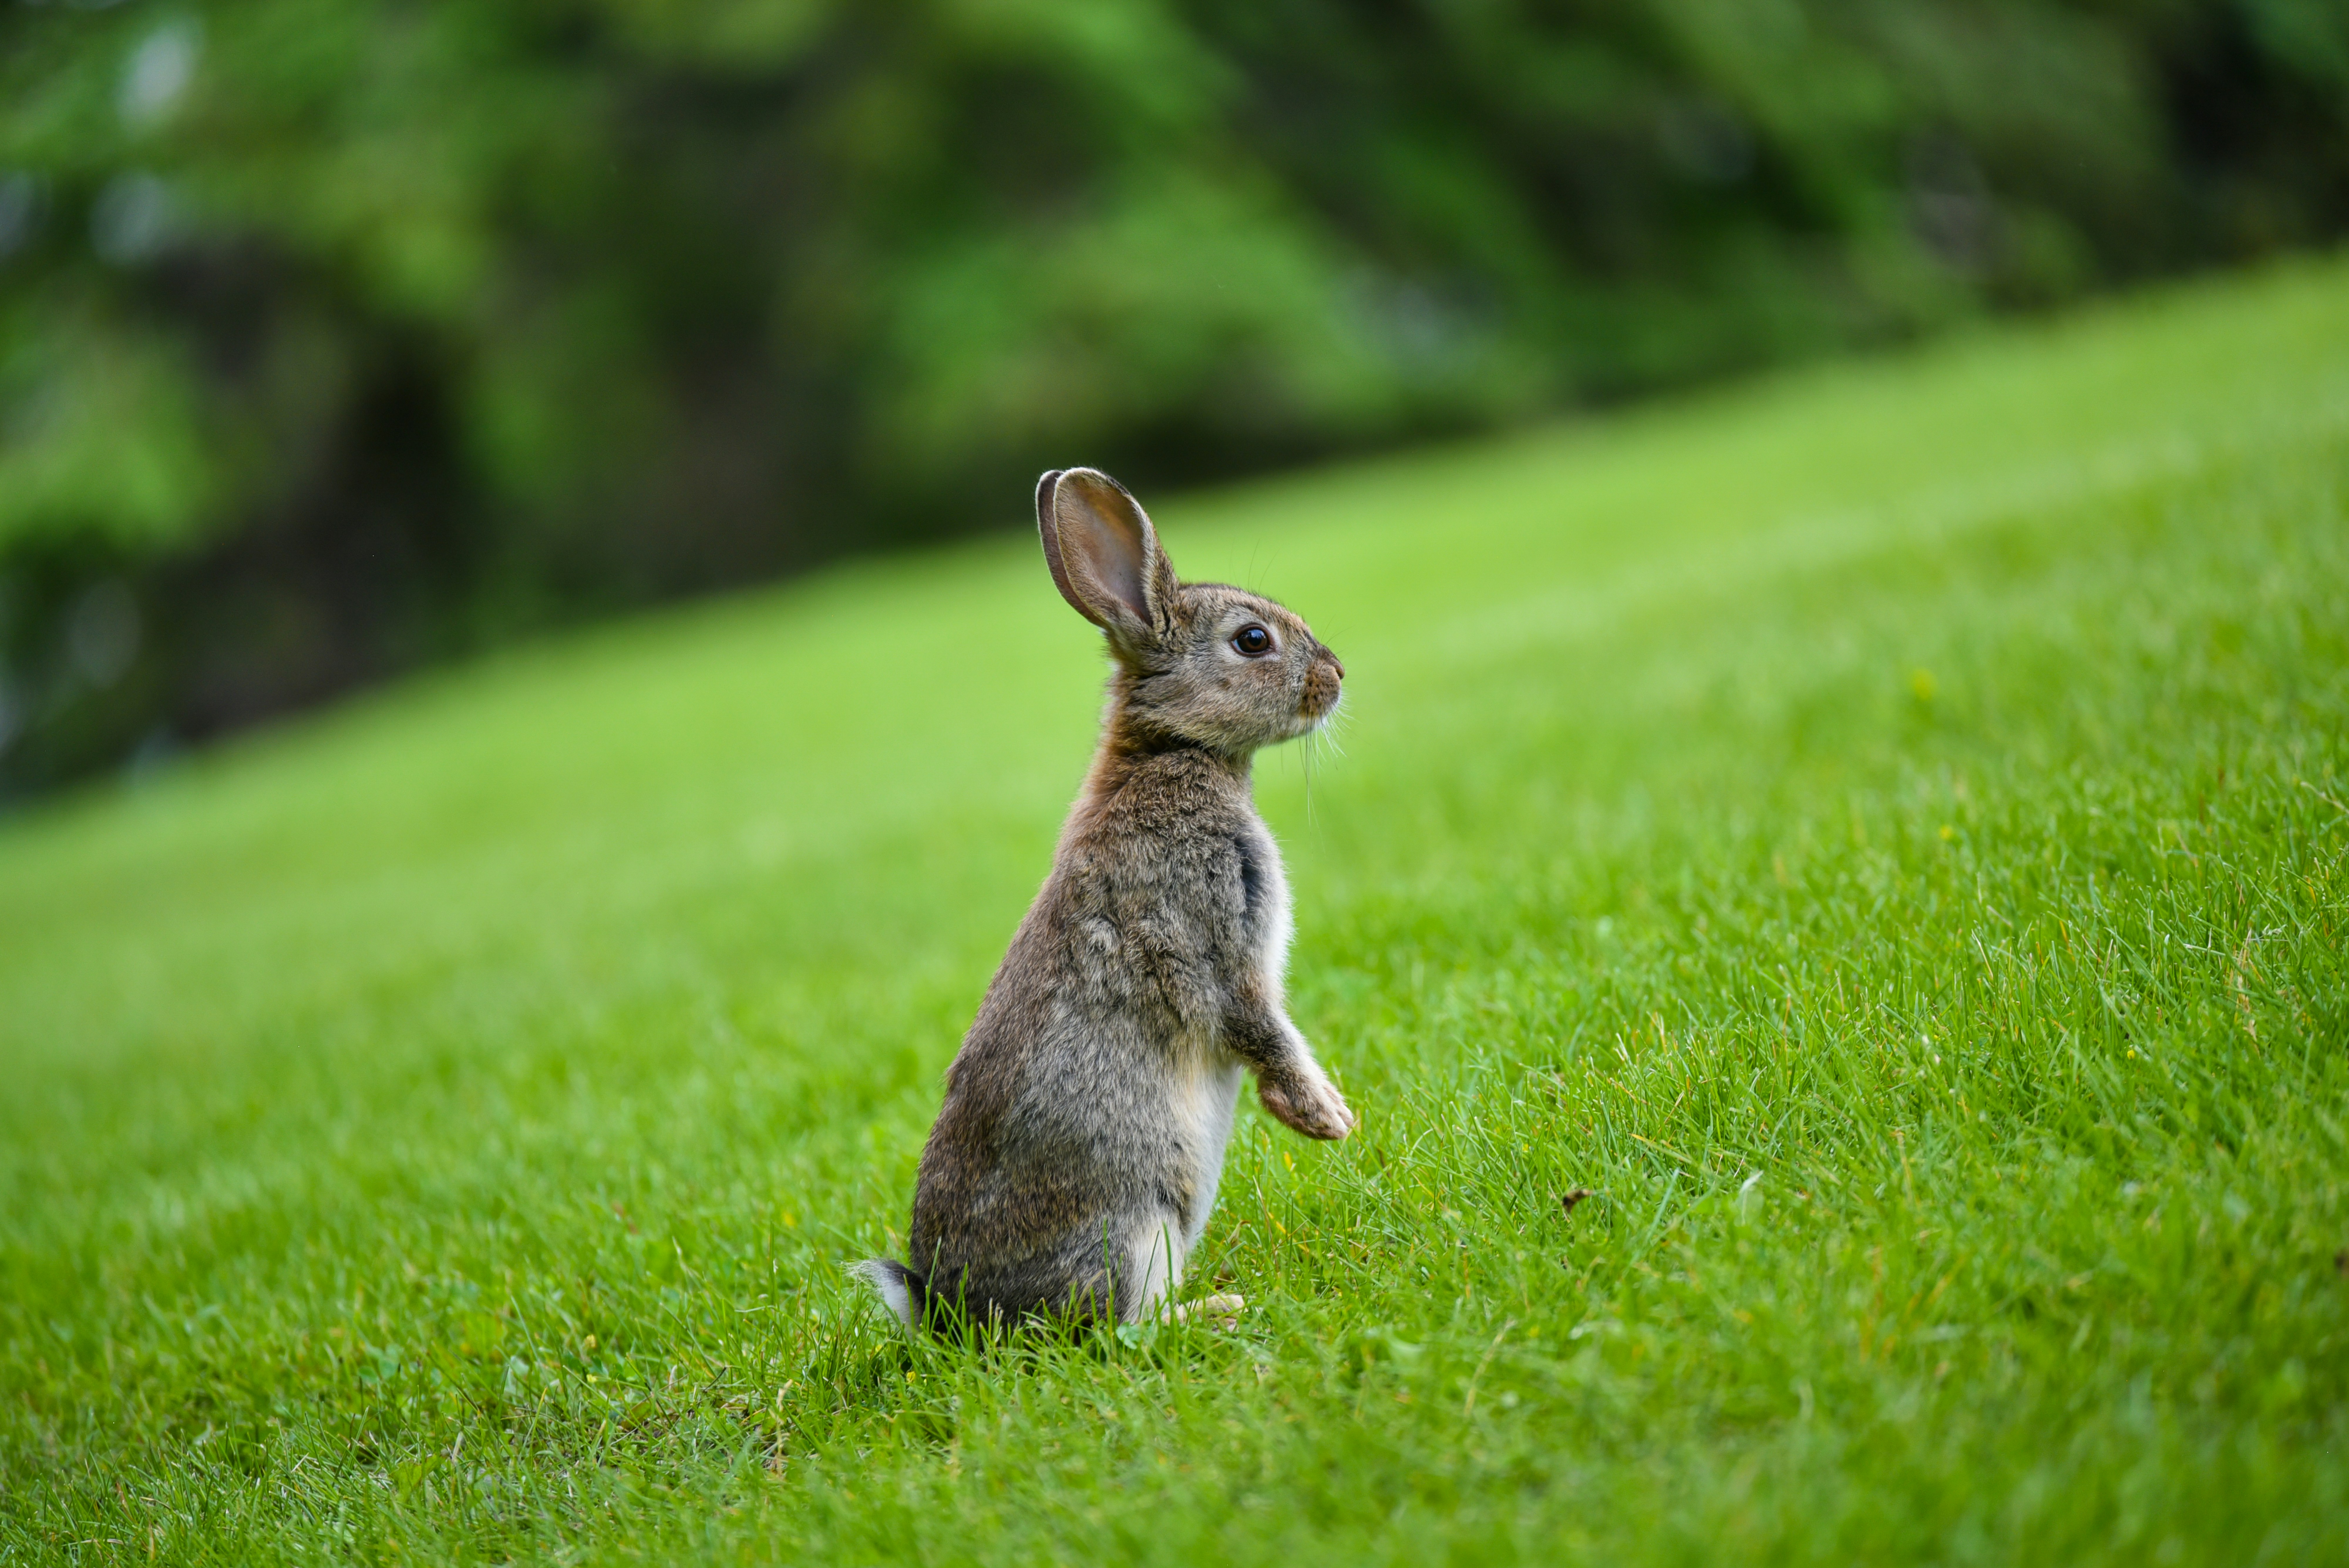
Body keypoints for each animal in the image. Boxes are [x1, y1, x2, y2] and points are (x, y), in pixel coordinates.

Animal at [857, 467, 1355, 1332]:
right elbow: (1261, 1026)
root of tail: (955, 1313)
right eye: (1251, 640)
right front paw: (1327, 1116)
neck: (1171, 751)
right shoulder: (1212, 935)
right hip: (1133, 1223)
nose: (1335, 676)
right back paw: (1218, 1308)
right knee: (1120, 1329)